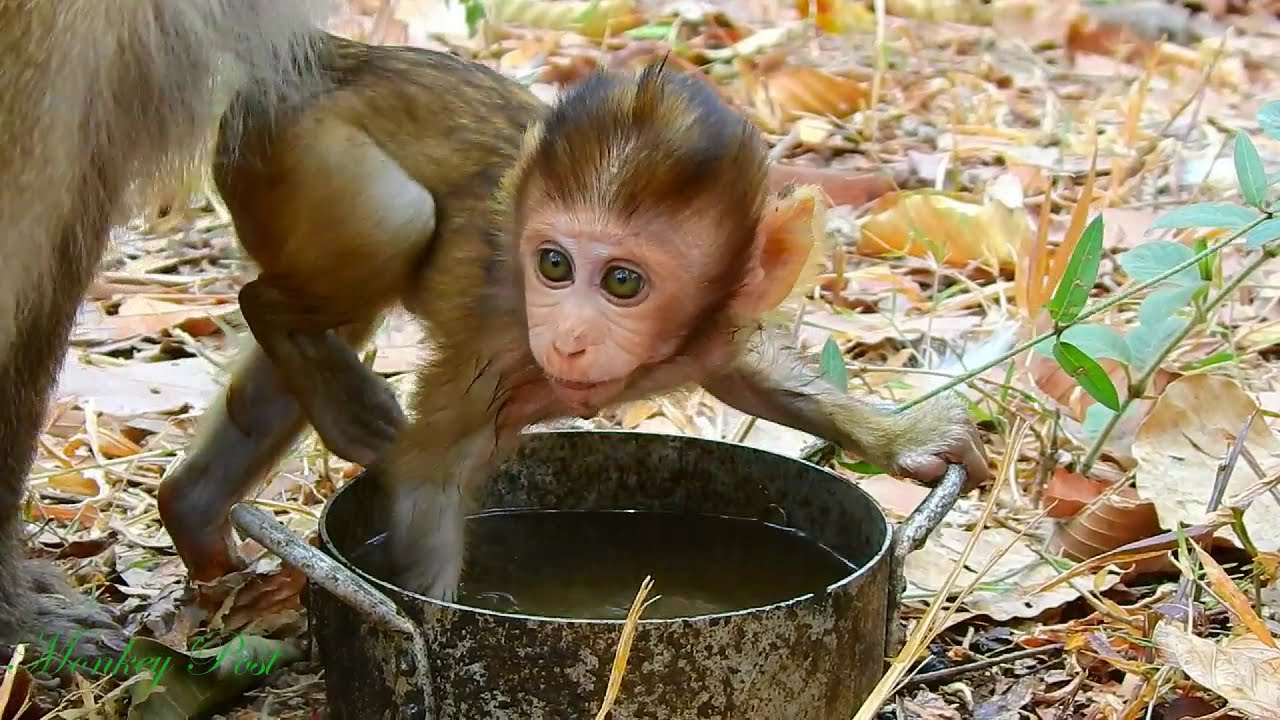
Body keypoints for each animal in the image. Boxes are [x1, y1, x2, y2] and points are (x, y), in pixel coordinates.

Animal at [154, 33, 991, 600]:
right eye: (553, 266)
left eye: (622, 281)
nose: (569, 337)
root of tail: (327, 56)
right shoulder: (497, 346)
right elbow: (428, 476)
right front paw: (443, 629)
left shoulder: (712, 332)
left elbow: (754, 380)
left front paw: (907, 439)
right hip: (292, 157)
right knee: (363, 238)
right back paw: (318, 378)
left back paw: (193, 513)